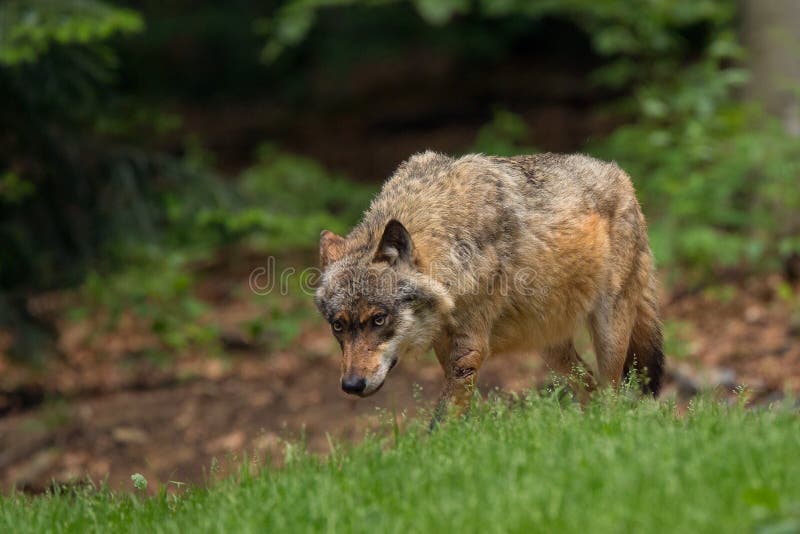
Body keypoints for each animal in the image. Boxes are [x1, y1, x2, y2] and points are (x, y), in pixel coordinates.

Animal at [315, 151, 664, 417]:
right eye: (338, 326)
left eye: (378, 319)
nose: (352, 386)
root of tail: (622, 176)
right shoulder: (446, 349)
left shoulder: (469, 351)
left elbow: (442, 420)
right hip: (551, 350)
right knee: (591, 389)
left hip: (608, 333)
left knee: (612, 395)